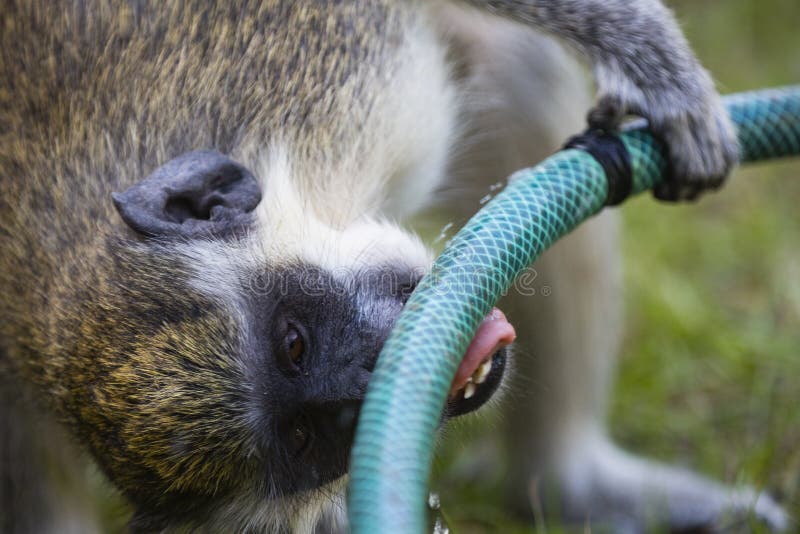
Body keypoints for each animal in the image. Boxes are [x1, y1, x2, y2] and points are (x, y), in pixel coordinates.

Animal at [0, 0, 787, 532]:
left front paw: (654, 62)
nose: (369, 376)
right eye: (308, 436)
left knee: (517, 67)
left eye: (292, 342)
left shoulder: (324, 58)